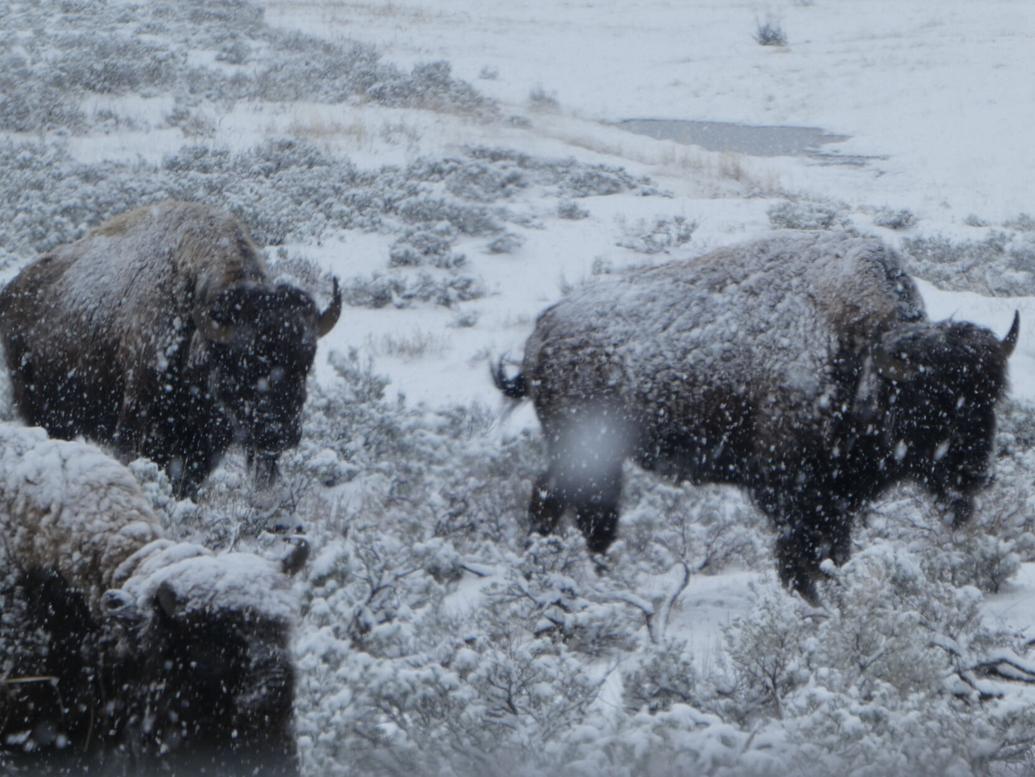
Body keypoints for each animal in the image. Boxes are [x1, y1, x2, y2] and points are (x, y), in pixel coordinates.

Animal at [0, 200, 341, 496]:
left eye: (307, 361)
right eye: (244, 362)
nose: (281, 434)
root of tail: (13, 289)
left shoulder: (203, 446)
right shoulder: (137, 421)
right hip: (43, 410)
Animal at [495, 231, 1018, 599]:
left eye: (992, 396)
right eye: (930, 402)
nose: (974, 475)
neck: (857, 354)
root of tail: (543, 332)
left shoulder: (838, 500)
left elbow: (833, 553)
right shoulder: (795, 495)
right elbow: (798, 558)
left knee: (568, 506)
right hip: (586, 452)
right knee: (574, 509)